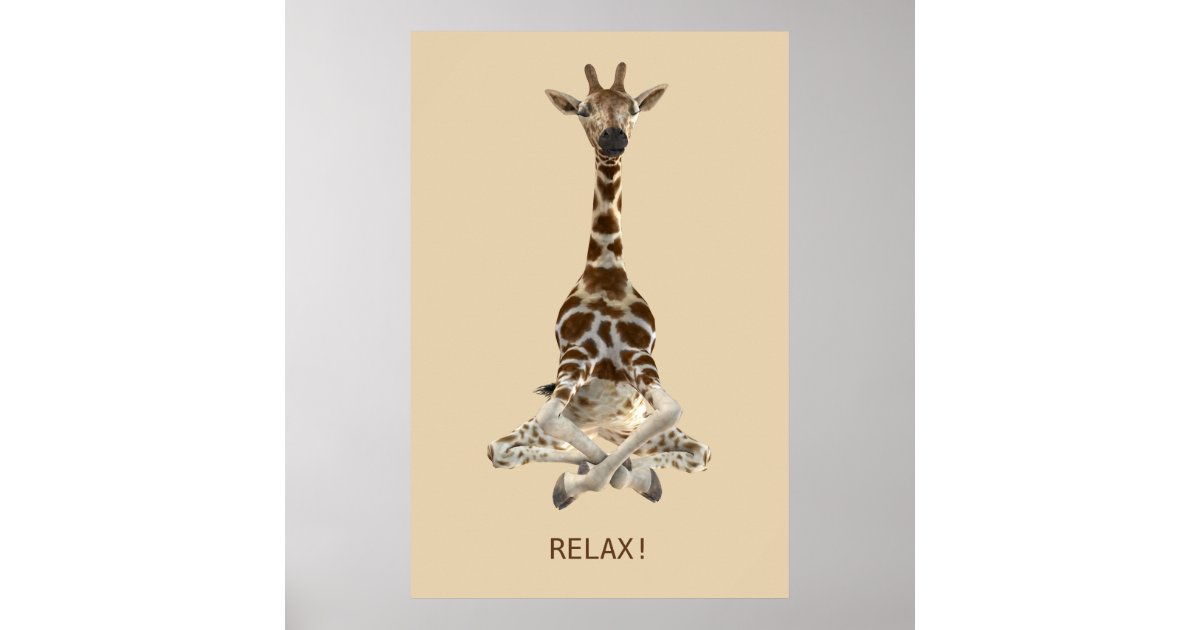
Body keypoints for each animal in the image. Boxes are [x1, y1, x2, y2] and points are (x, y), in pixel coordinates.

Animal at [487, 62, 711, 509]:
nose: (613, 138)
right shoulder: (576, 356)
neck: (606, 273)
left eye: (635, 108)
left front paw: (630, 477)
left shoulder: (639, 356)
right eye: (583, 109)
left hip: (636, 427)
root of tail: (604, 427)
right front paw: (578, 482)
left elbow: (672, 414)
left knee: (695, 452)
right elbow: (548, 418)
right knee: (504, 448)